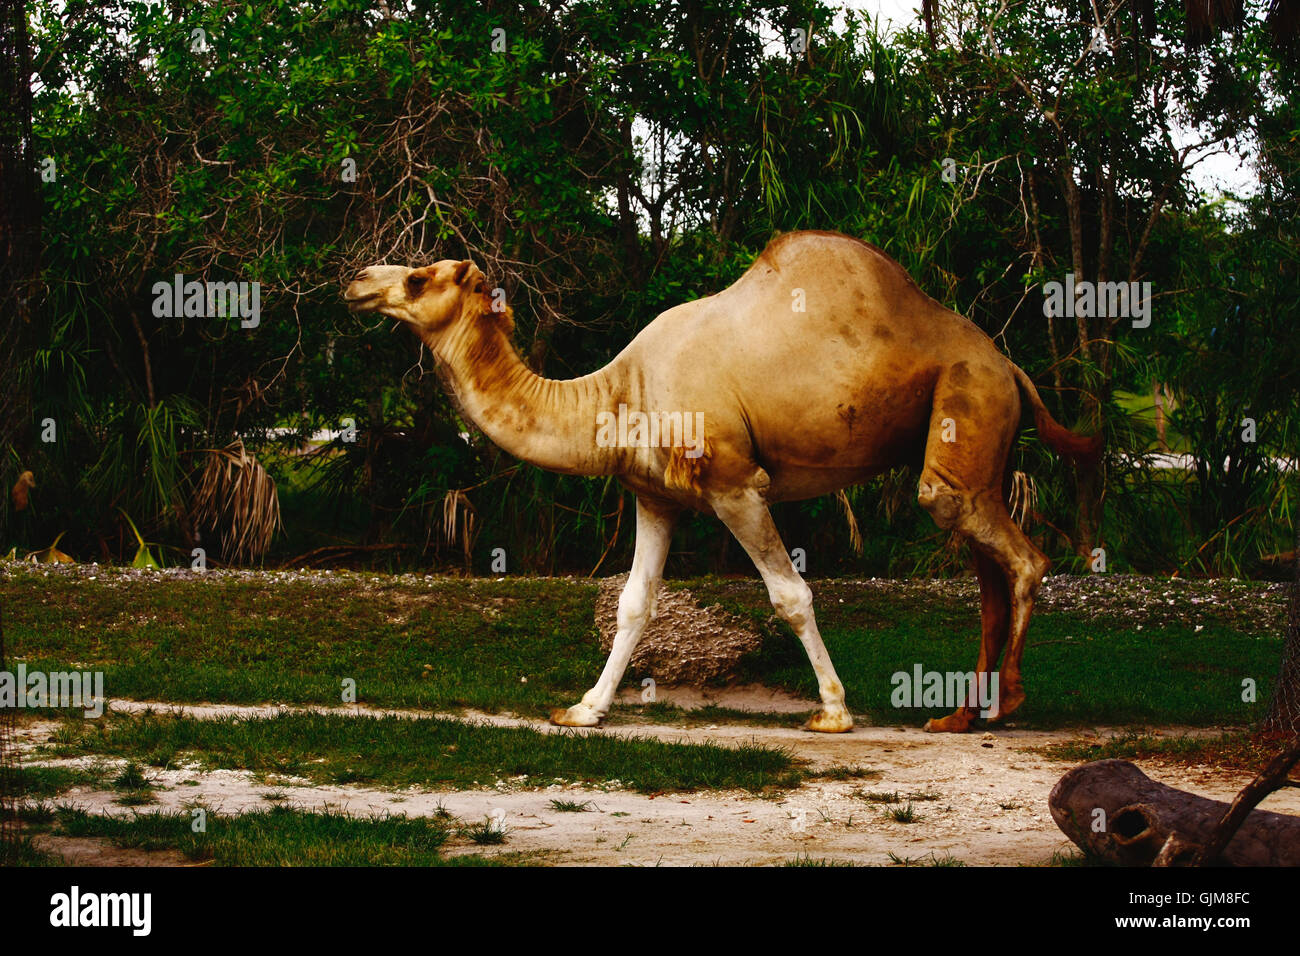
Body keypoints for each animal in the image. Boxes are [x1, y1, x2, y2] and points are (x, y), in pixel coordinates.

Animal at [345, 230, 1100, 733]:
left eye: (419, 279)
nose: (357, 281)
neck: (619, 393)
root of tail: (1013, 369)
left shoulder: (737, 484)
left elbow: (791, 594)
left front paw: (833, 712)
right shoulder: (655, 495)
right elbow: (634, 605)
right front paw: (585, 709)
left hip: (967, 404)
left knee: (1022, 558)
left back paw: (1010, 702)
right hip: (970, 451)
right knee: (988, 571)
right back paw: (960, 717)